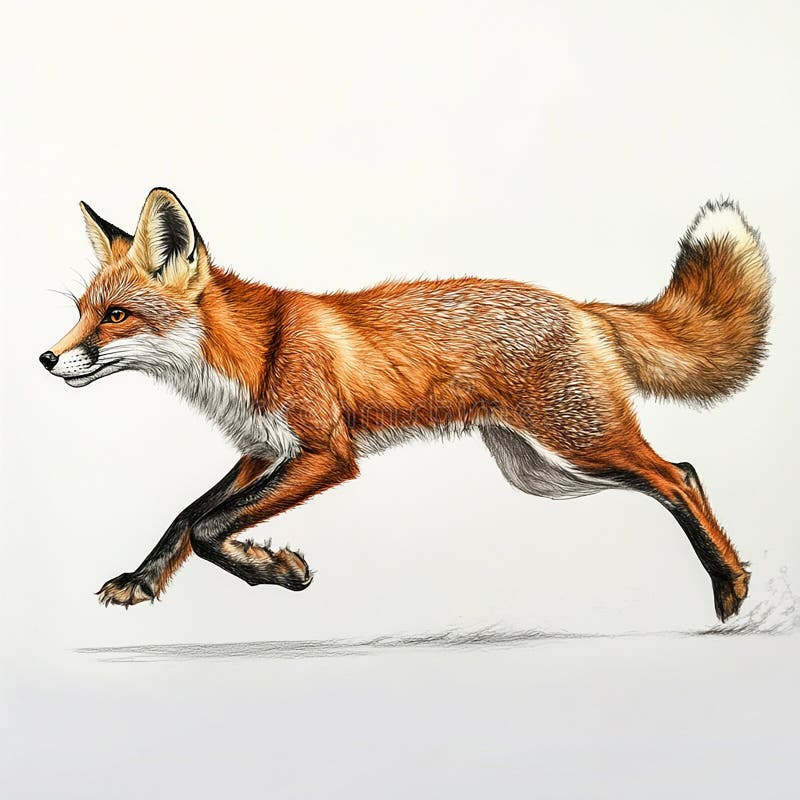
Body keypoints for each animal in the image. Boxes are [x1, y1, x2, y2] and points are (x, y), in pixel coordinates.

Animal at [40, 188, 771, 621]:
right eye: (80, 312)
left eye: (115, 316)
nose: (46, 359)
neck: (253, 352)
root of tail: (580, 304)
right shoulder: (261, 451)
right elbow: (189, 517)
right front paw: (141, 580)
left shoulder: (326, 454)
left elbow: (209, 527)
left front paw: (278, 572)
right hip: (545, 472)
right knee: (677, 476)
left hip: (577, 442)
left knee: (676, 476)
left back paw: (729, 585)